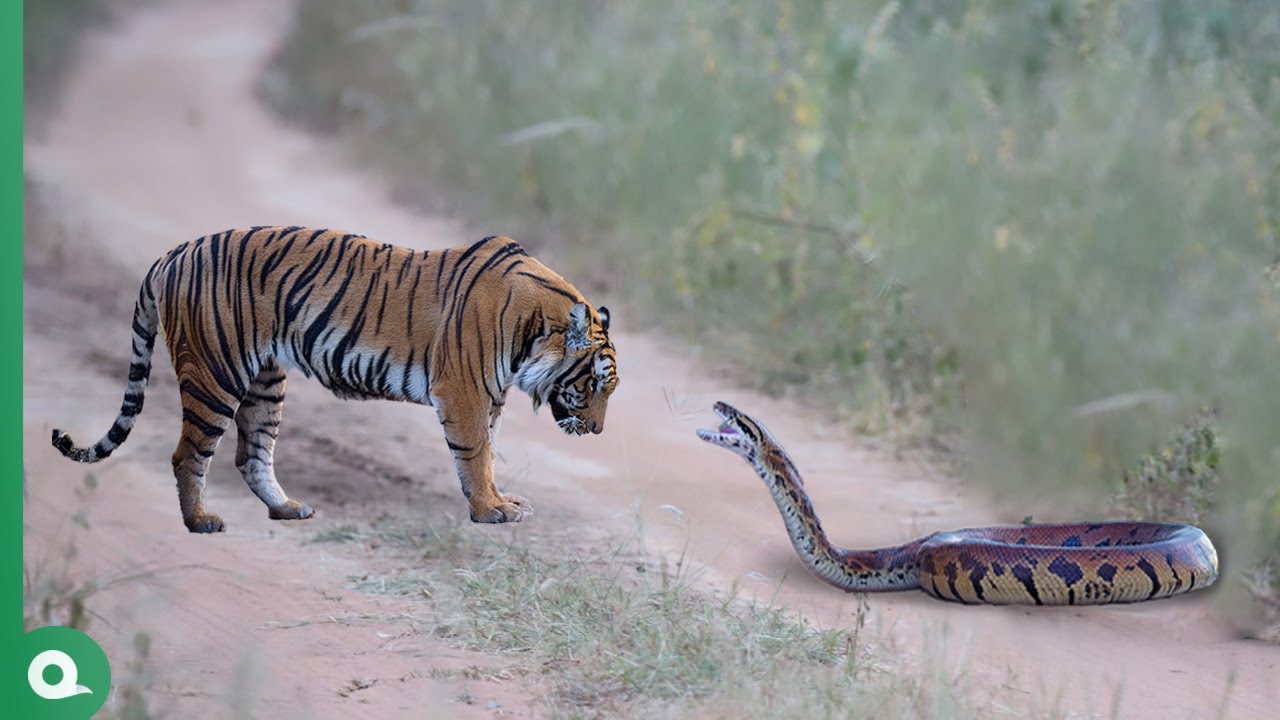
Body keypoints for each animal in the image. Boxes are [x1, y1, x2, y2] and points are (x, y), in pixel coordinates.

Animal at [51, 227, 619, 532]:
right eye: (593, 386)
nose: (597, 432)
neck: (531, 332)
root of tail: (175, 252)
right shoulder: (464, 393)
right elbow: (476, 455)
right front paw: (488, 510)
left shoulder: (488, 399)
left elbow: (490, 455)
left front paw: (501, 502)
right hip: (216, 373)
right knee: (188, 454)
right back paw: (200, 522)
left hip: (265, 381)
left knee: (251, 454)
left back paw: (286, 509)